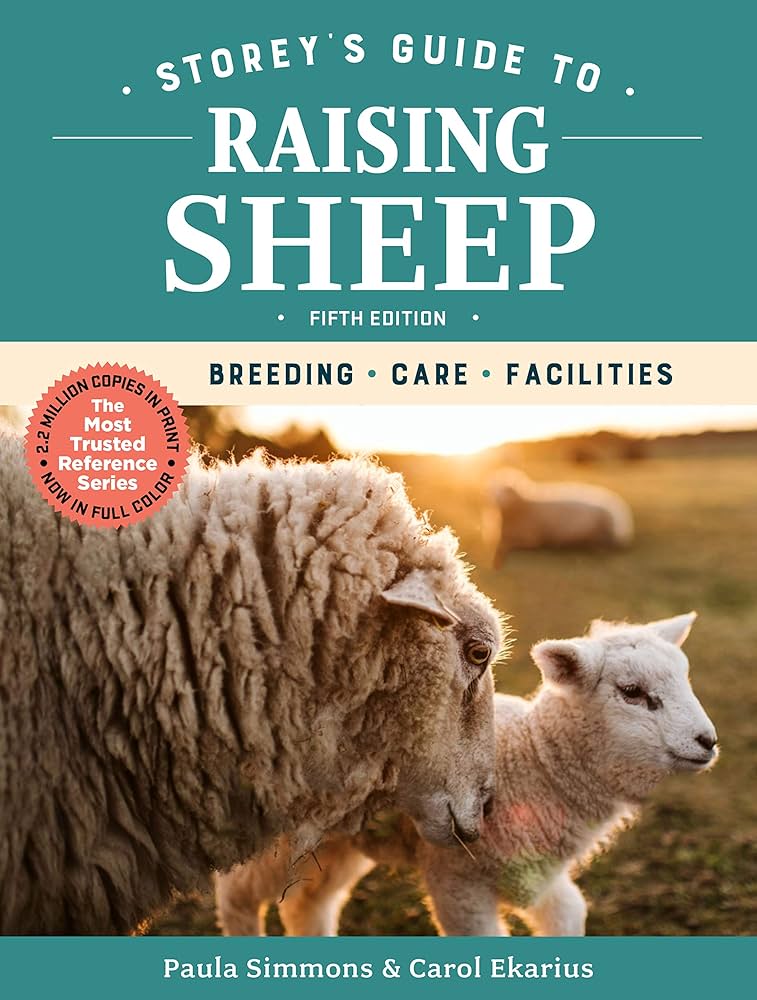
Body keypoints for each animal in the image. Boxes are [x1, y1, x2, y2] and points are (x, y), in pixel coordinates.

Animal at [217, 612, 718, 936]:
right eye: (631, 691)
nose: (707, 741)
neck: (532, 762)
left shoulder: (539, 876)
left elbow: (569, 915)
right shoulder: (458, 880)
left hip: (338, 842)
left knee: (307, 906)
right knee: (238, 895)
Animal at [486, 468, 633, 566]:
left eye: (504, 490)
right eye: (492, 488)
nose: (493, 499)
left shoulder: (531, 538)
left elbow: (509, 544)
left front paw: (497, 558)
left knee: (602, 546)